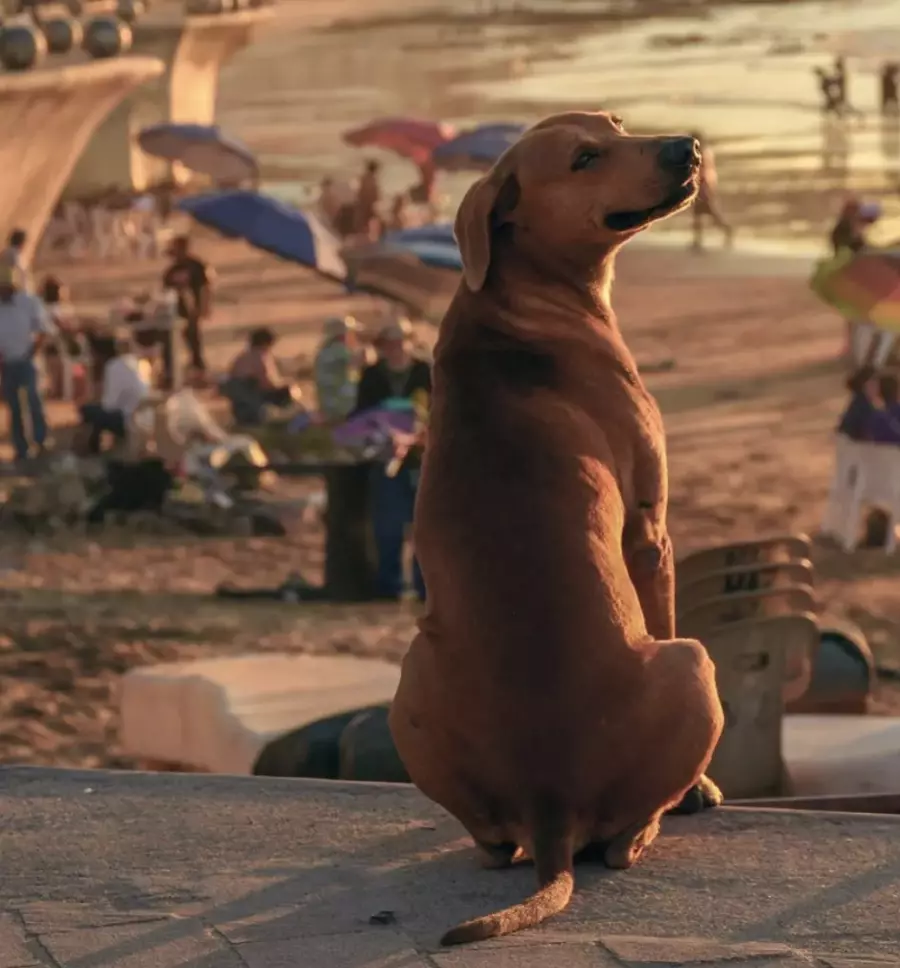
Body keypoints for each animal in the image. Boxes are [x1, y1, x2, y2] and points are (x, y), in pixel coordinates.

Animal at [386, 111, 724, 944]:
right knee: (623, 841)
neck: (518, 302)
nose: (689, 147)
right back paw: (656, 819)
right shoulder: (649, 530)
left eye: (618, 126)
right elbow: (660, 589)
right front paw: (702, 788)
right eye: (584, 158)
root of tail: (550, 804)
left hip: (410, 681)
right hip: (691, 663)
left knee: (487, 843)